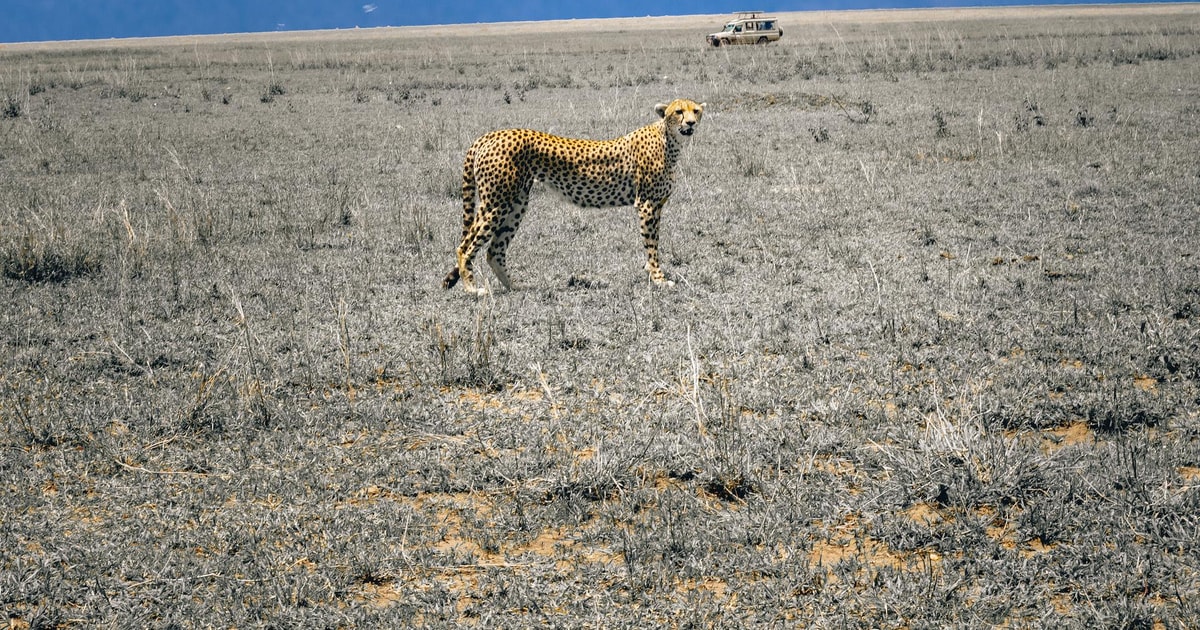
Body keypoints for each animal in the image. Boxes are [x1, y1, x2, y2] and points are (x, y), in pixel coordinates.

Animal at [441, 98, 705, 295]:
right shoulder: (647, 205)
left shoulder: (657, 205)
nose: (691, 123)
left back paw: (515, 286)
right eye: (678, 111)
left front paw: (653, 274)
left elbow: (653, 245)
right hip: (496, 203)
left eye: (696, 111)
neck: (669, 139)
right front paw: (659, 279)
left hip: (516, 204)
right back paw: (472, 289)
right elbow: (652, 246)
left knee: (494, 250)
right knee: (465, 247)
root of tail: (490, 135)